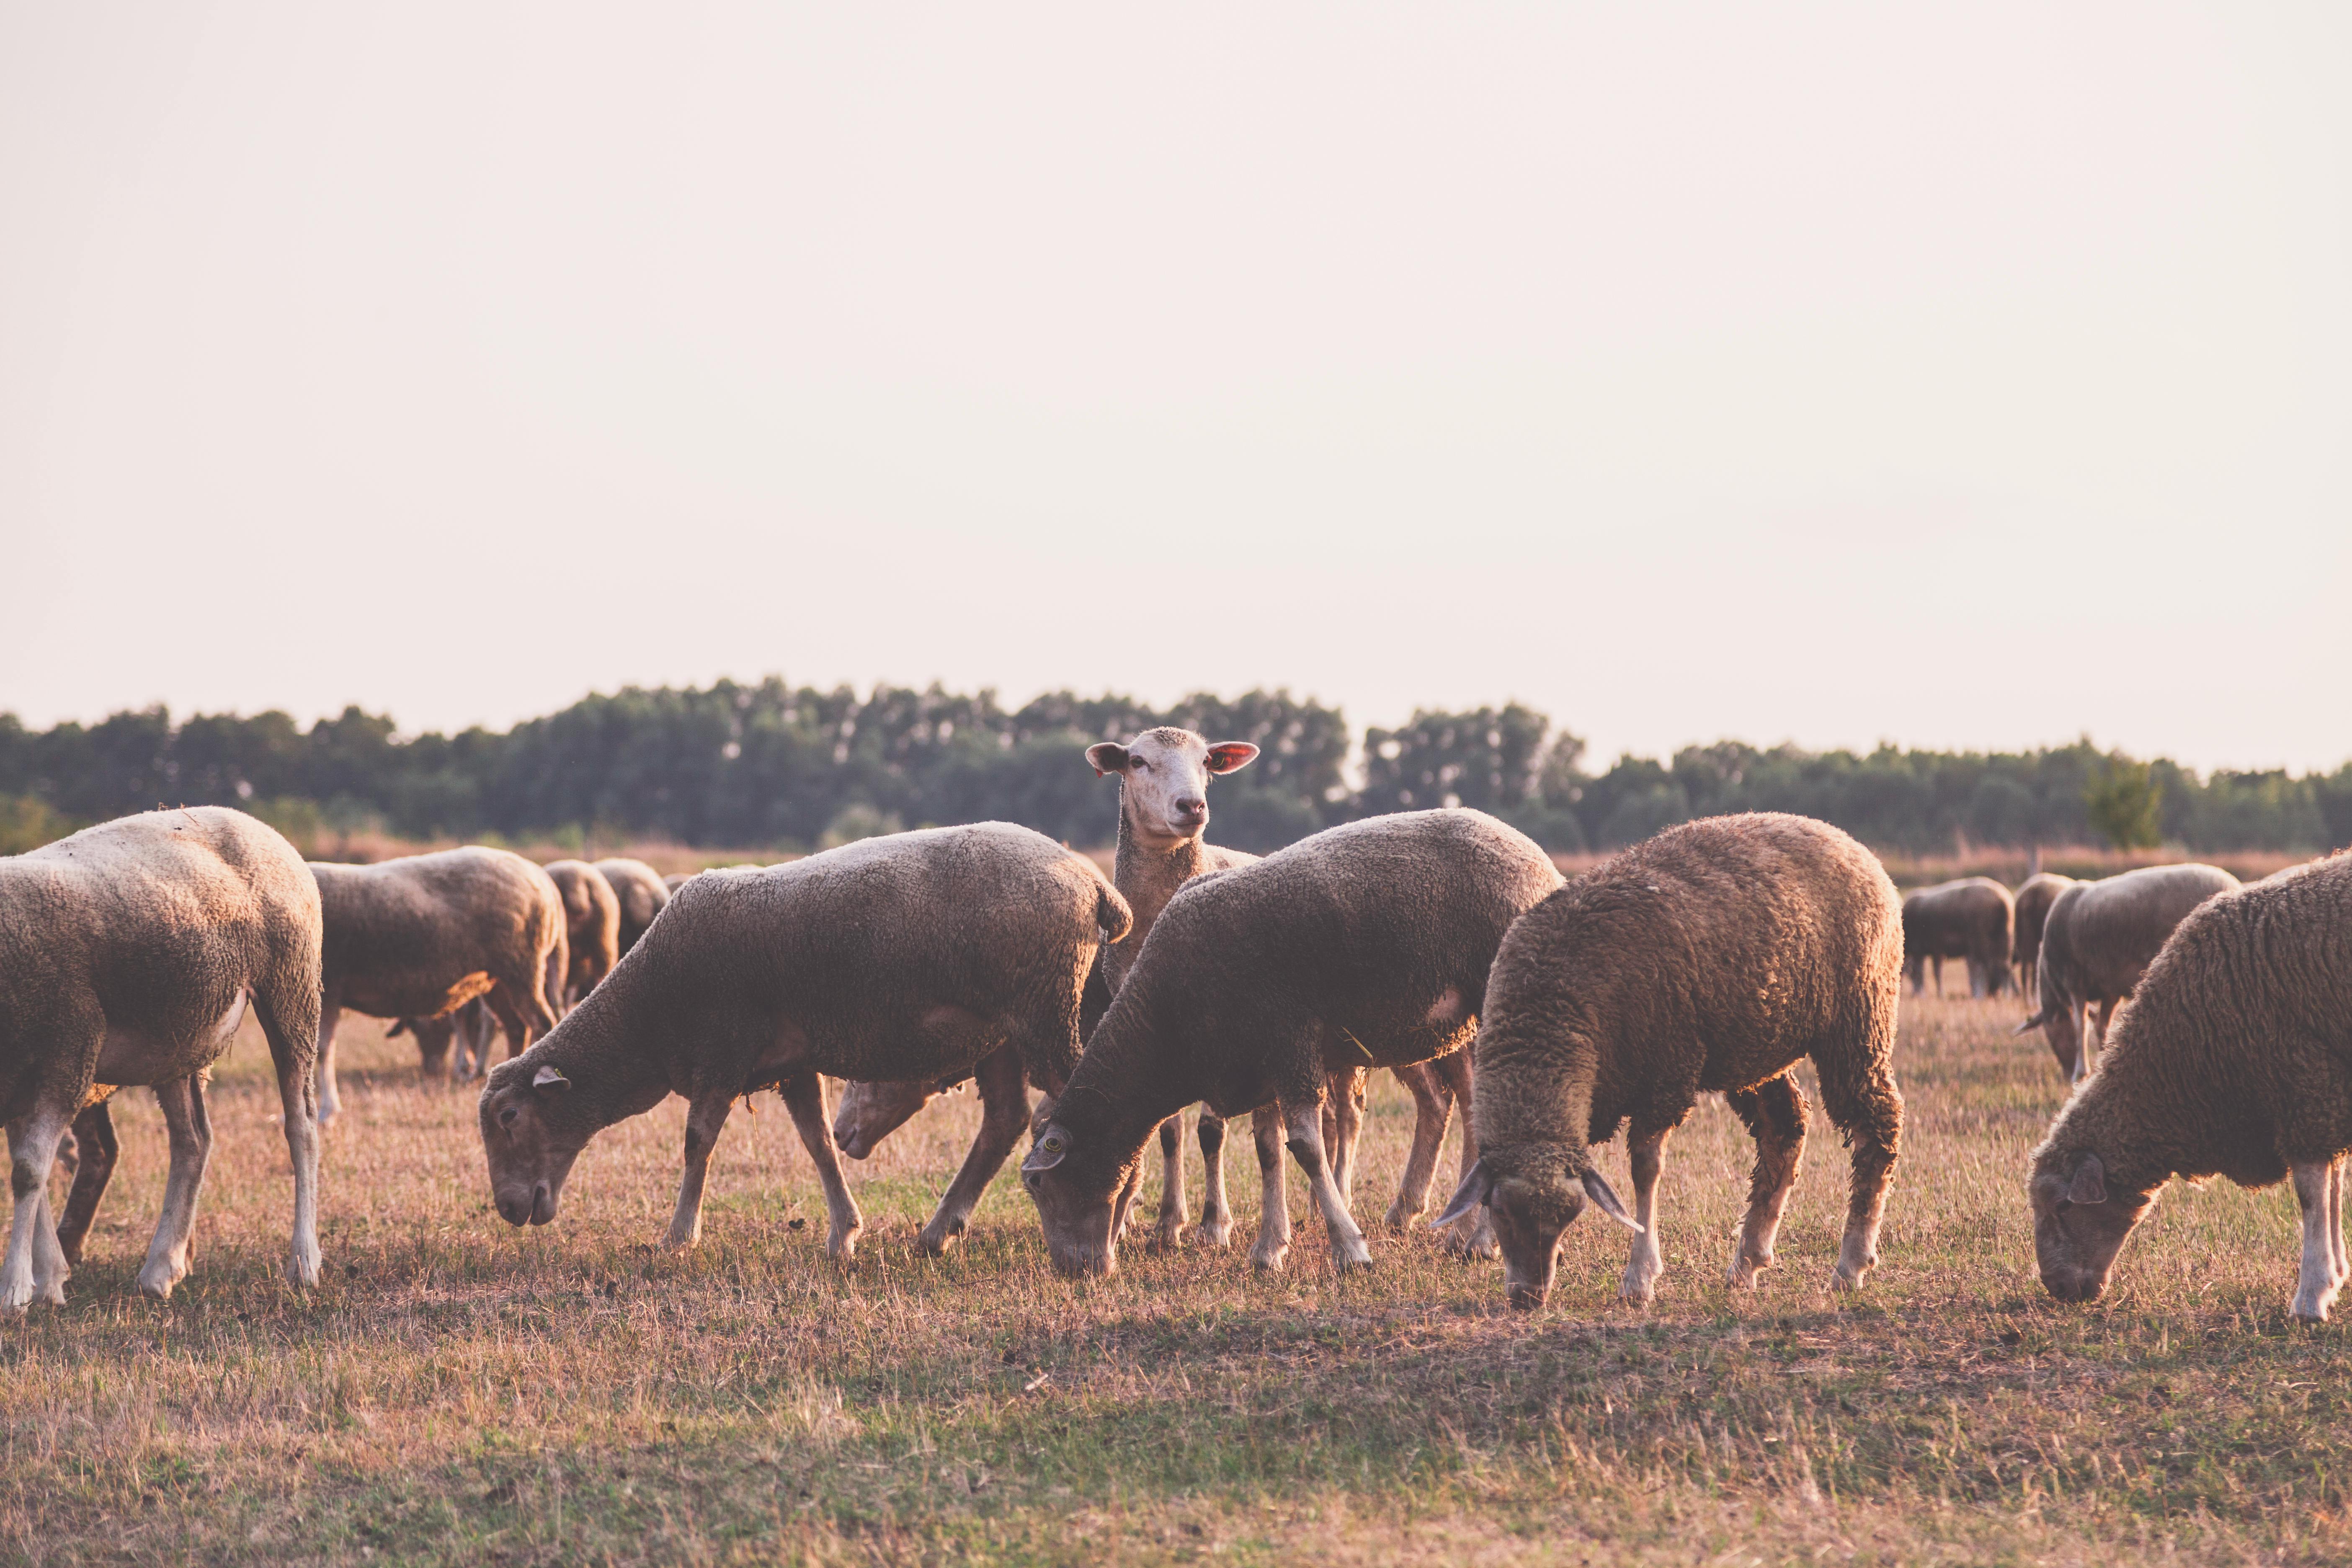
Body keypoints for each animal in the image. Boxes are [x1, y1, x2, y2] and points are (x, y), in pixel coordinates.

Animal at [0, 807, 325, 1308]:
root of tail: (256, 823)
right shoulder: (21, 1075)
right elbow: (31, 1170)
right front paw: (50, 1278)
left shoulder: (66, 1051)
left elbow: (28, 1173)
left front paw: (17, 1287)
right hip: (179, 1037)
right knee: (194, 1141)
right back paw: (161, 1268)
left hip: (292, 987)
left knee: (301, 1127)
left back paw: (304, 1263)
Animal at [311, 848, 569, 1125]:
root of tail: (542, 878)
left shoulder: (330, 986)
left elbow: (323, 1050)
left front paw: (328, 1112)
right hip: (497, 980)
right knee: (516, 1028)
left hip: (523, 967)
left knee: (541, 1023)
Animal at [1020, 808, 1563, 1277]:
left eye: (1038, 1183)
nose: (1074, 1270)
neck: (1167, 1021)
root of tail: (1539, 860)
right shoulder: (1262, 1061)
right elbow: (1268, 1151)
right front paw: (1269, 1248)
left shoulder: (1290, 1043)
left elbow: (1304, 1148)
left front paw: (1349, 1249)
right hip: (1458, 1025)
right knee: (1471, 1110)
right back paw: (1463, 1235)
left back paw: (1483, 1241)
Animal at [1433, 812, 1905, 1309]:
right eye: (1499, 1211)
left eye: (1570, 1216)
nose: (1529, 1298)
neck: (1551, 1012)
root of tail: (1846, 840)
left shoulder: (1665, 1077)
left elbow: (1646, 1170)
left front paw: (1639, 1278)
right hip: (1757, 1048)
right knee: (1784, 1128)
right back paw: (1748, 1261)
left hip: (1857, 1022)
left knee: (1876, 1129)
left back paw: (1850, 1264)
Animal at [1899, 876, 2015, 997]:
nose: (1993, 993)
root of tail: (2001, 901)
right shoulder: (1936, 950)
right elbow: (1935, 972)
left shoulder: (1921, 949)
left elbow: (1923, 973)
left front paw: (1924, 994)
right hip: (2005, 937)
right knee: (2005, 968)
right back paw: (2006, 995)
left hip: (1980, 938)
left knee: (1983, 967)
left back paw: (1980, 994)